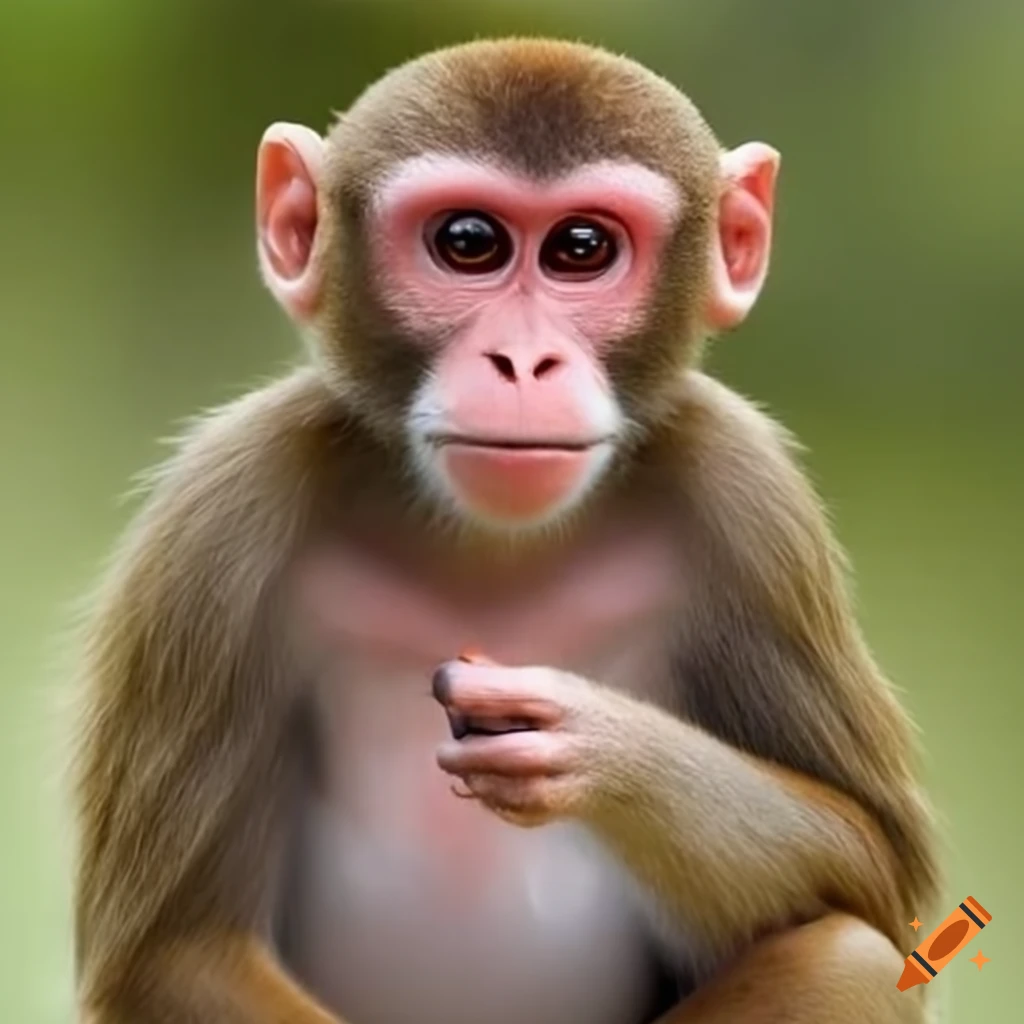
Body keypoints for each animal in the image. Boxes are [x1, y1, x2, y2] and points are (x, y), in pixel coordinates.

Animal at [71, 37, 939, 1024]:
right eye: (469, 242)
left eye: (581, 247)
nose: (524, 362)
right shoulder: (220, 517)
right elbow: (178, 952)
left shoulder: (748, 499)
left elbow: (873, 870)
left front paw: (604, 747)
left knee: (845, 956)